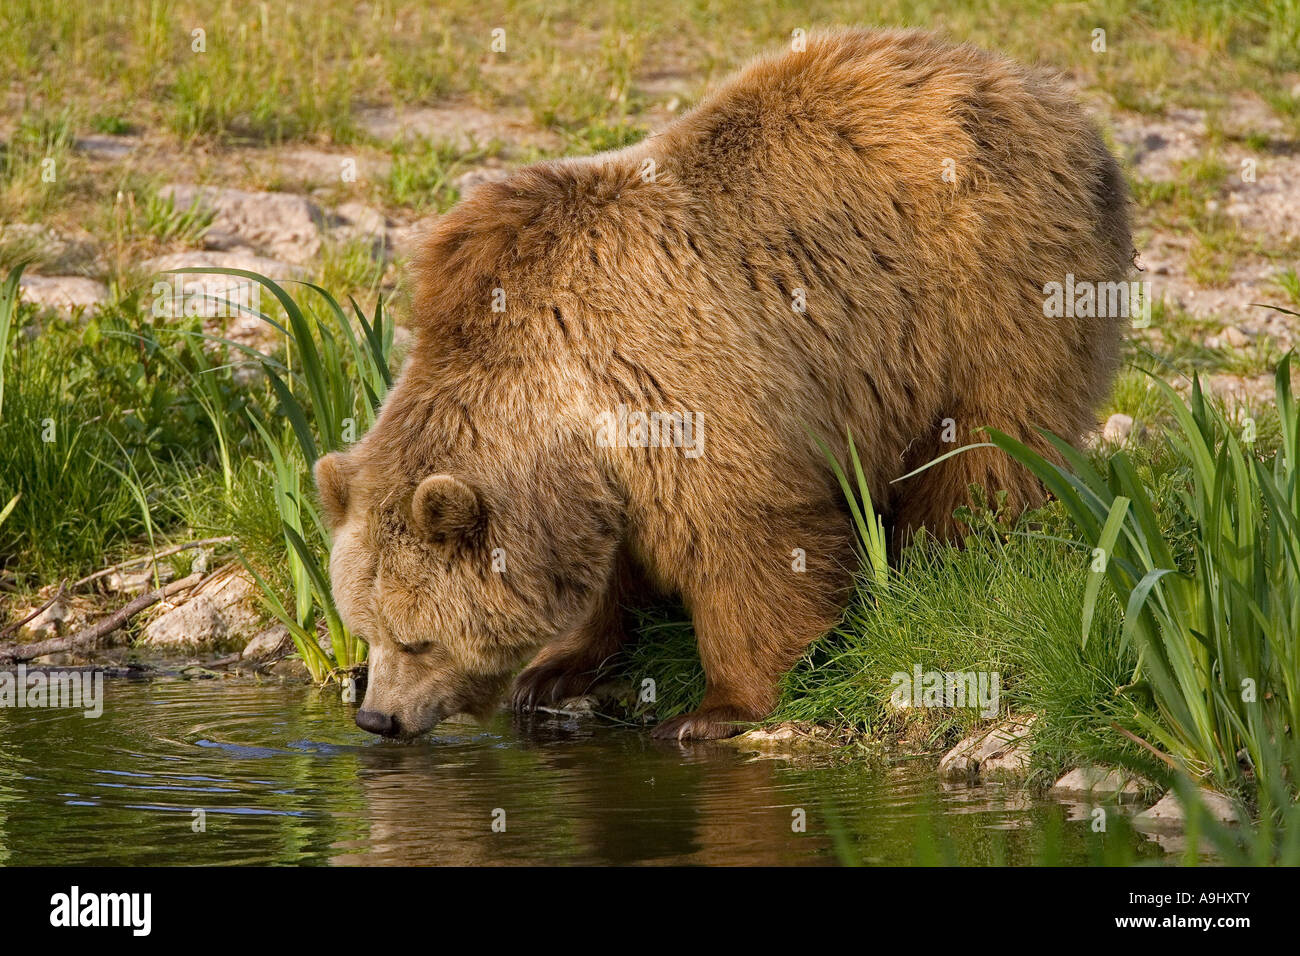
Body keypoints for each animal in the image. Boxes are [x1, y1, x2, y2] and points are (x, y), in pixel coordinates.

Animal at [315, 27, 1132, 742]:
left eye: (416, 638)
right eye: (363, 626)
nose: (377, 718)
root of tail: (1044, 91)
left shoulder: (672, 383)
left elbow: (747, 538)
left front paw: (712, 709)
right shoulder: (602, 468)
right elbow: (607, 570)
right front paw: (553, 671)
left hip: (990, 286)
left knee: (987, 446)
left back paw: (941, 557)